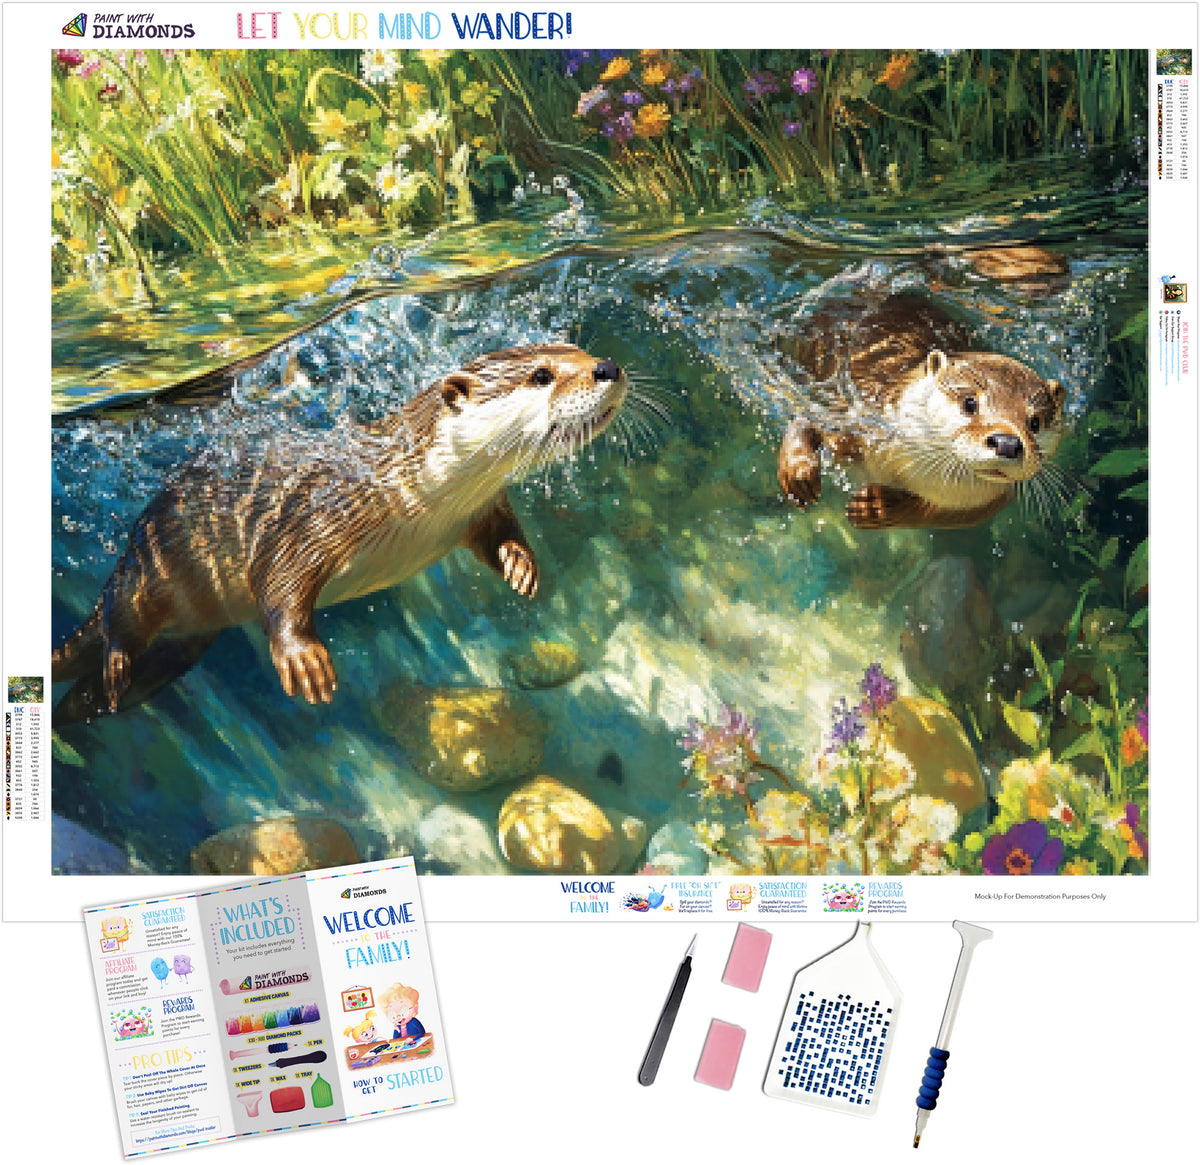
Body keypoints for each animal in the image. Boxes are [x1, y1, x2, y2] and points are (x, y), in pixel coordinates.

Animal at [52, 344, 627, 719]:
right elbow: (277, 580)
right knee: (119, 621)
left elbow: (500, 533)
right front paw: (302, 658)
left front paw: (519, 564)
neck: (414, 490)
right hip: (147, 569)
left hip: (193, 631)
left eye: (578, 345)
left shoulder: (479, 507)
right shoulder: (312, 518)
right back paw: (115, 668)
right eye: (541, 375)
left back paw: (87, 702)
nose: (608, 366)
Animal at [775, 293, 1065, 529]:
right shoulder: (858, 418)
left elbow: (939, 515)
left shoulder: (985, 504)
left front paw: (878, 507)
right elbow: (809, 418)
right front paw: (799, 474)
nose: (1007, 442)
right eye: (970, 403)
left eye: (1035, 422)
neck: (902, 469)